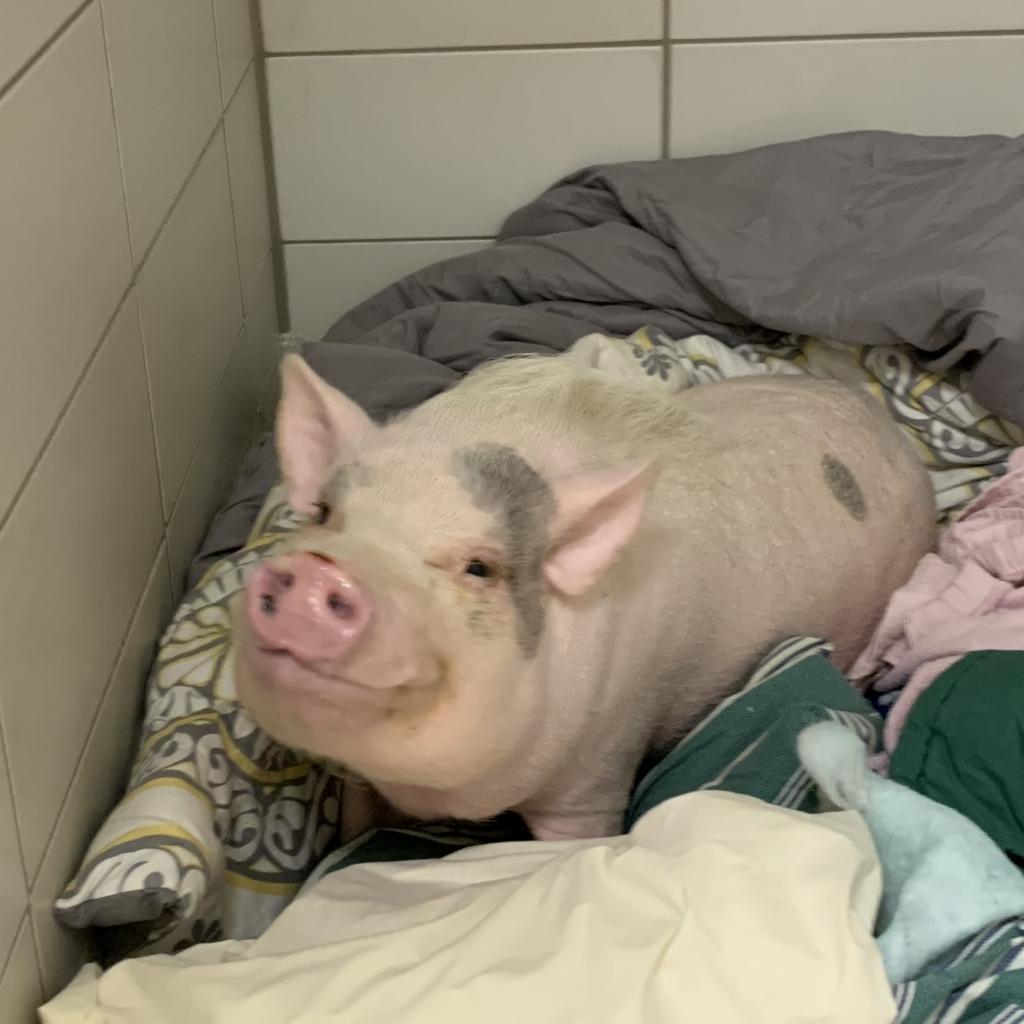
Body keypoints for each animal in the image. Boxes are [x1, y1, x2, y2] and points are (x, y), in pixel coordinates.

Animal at [233, 352, 935, 841]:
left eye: (480, 567)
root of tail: (882, 420)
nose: (323, 572)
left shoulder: (598, 767)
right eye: (325, 513)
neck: (432, 792)